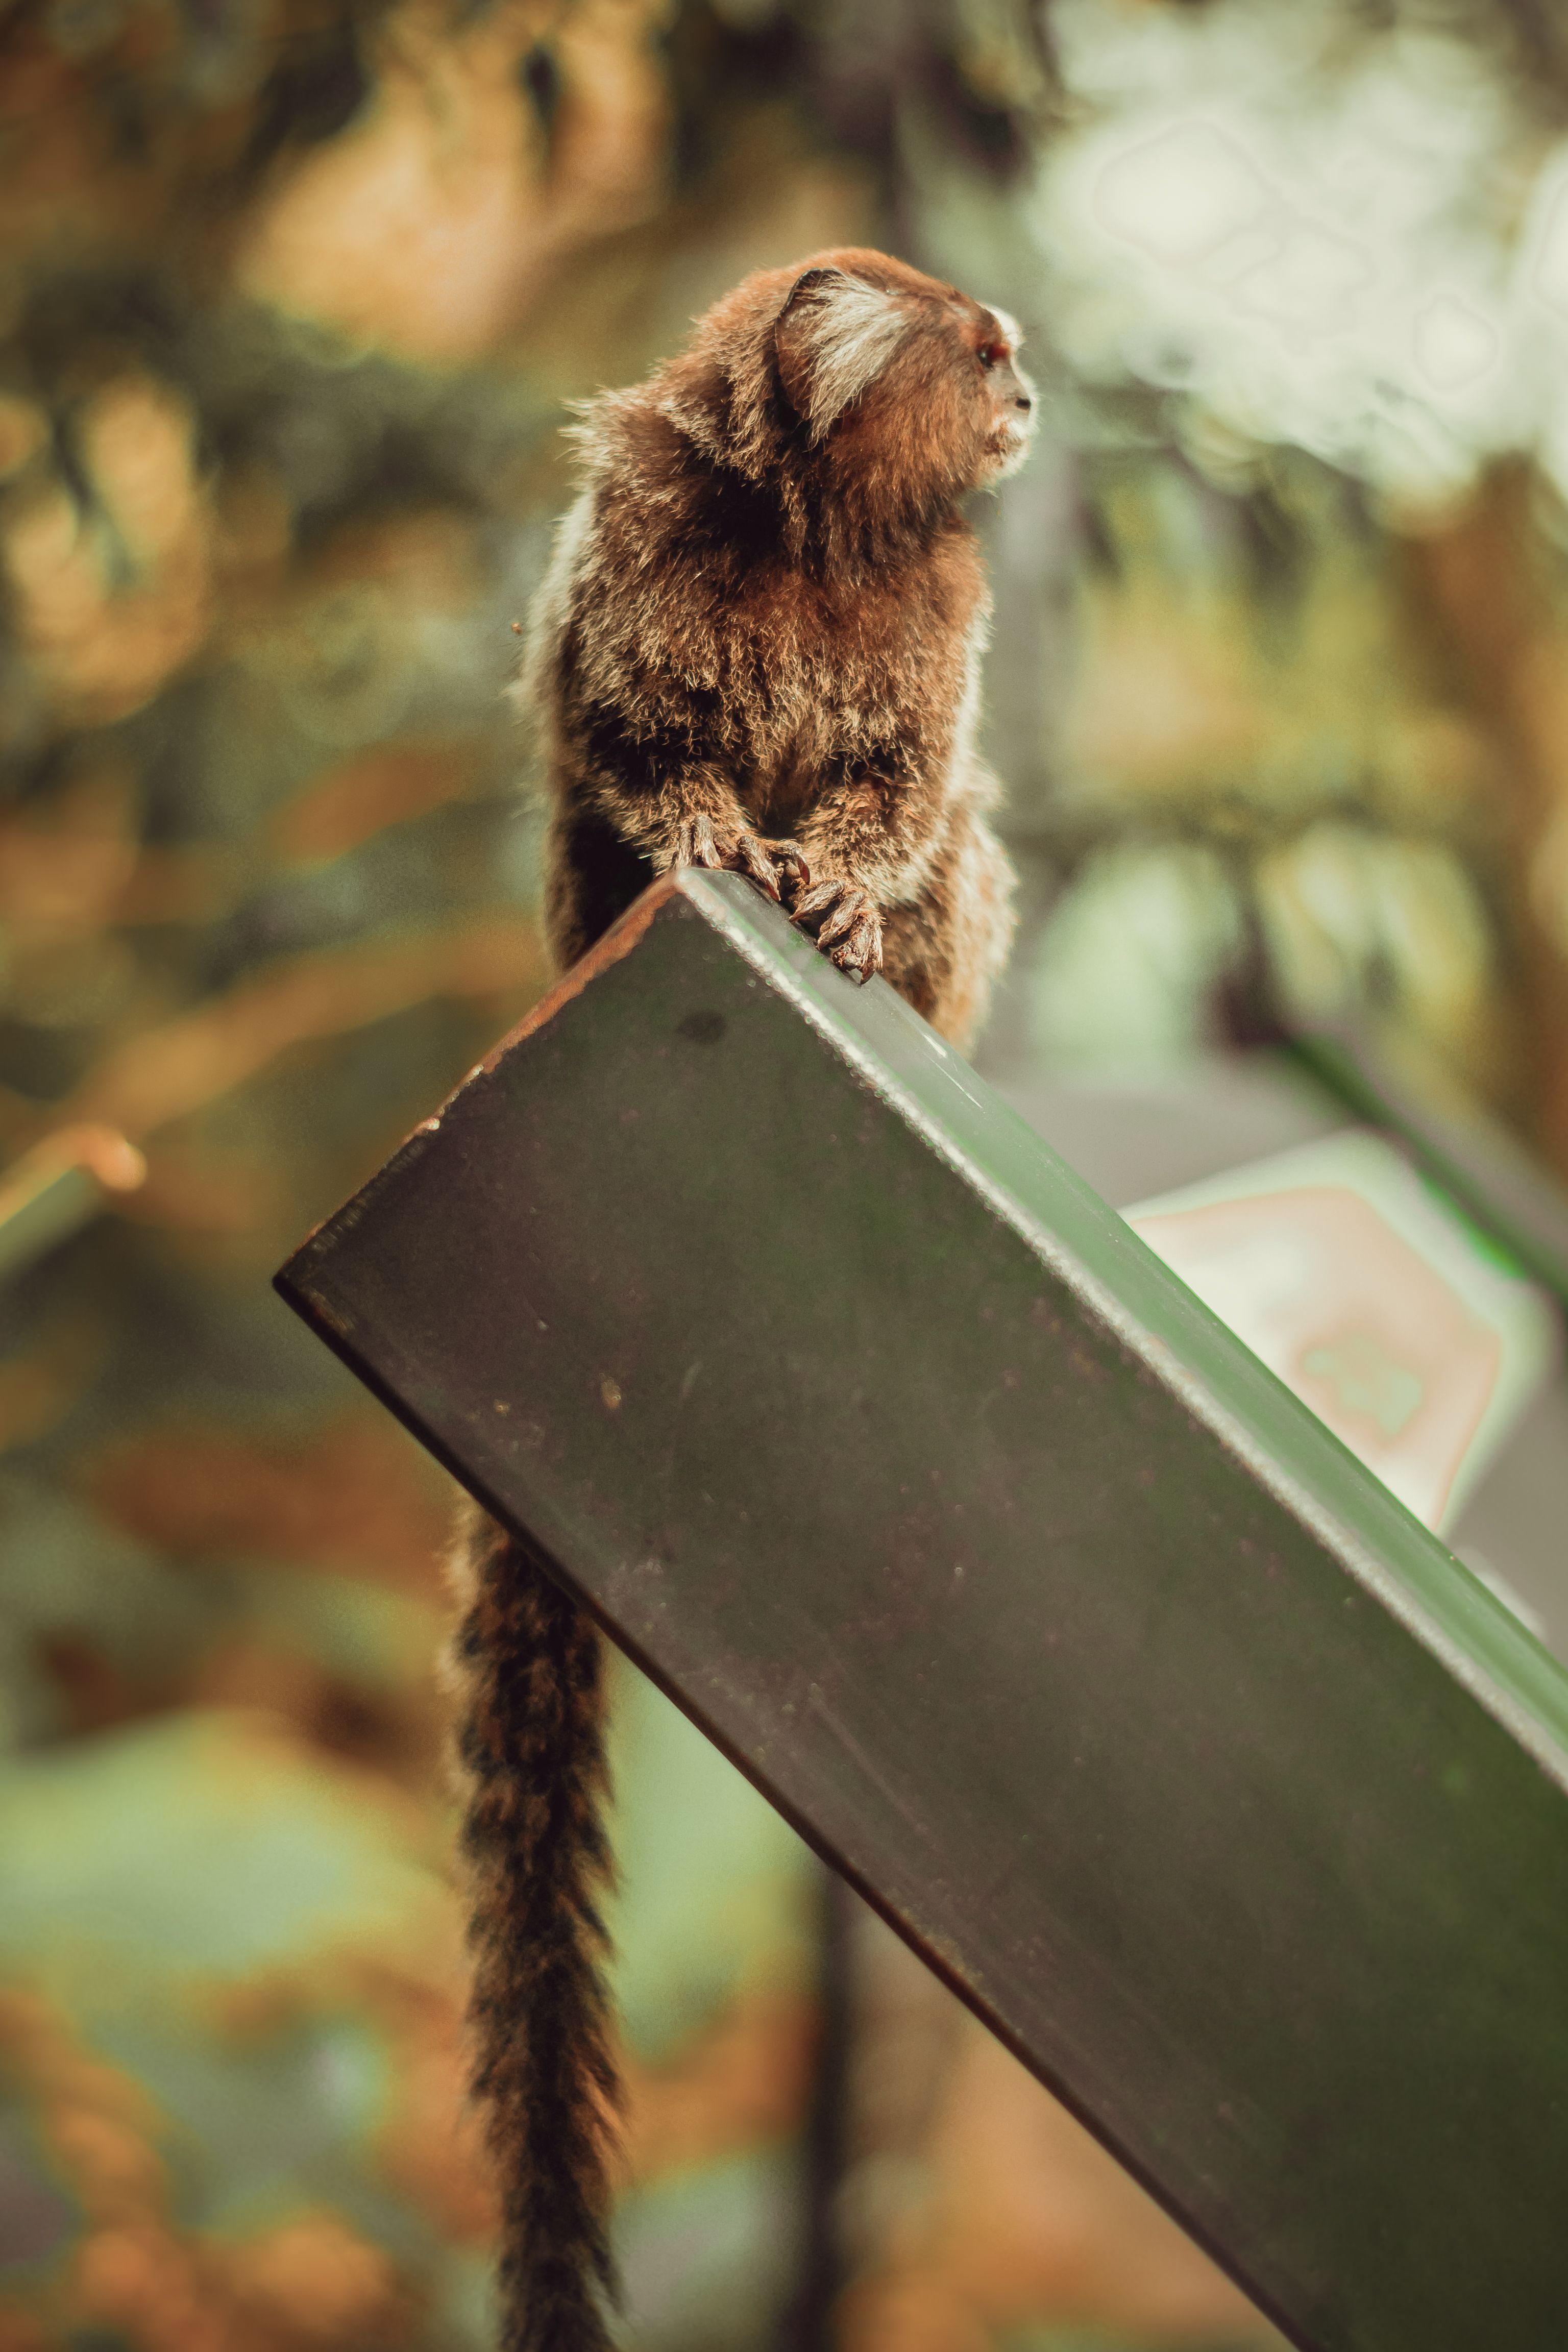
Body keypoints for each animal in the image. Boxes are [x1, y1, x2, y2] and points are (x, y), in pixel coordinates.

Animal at [447, 248, 1036, 2352]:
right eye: (988, 357)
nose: (1036, 404)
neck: (811, 537)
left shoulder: (933, 652)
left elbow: (903, 798)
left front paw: (836, 881)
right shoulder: (631, 560)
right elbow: (620, 738)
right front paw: (704, 825)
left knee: (970, 860)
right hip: (567, 889)